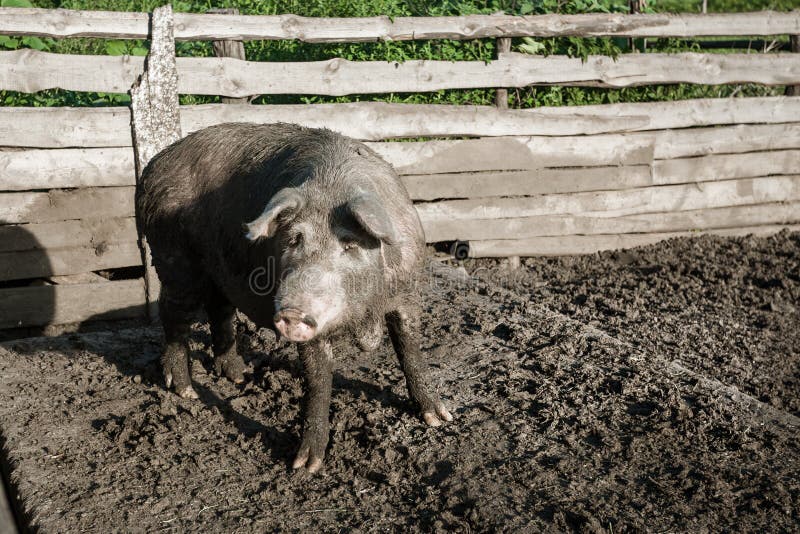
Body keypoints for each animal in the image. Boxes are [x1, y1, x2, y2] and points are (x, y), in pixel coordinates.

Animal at [136, 122, 453, 472]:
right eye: (294, 240)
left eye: (349, 244)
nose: (292, 312)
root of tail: (154, 165)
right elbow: (318, 380)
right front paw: (306, 465)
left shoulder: (407, 291)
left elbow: (410, 350)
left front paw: (440, 419)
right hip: (174, 258)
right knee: (174, 315)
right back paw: (186, 391)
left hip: (219, 270)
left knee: (220, 309)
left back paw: (238, 376)